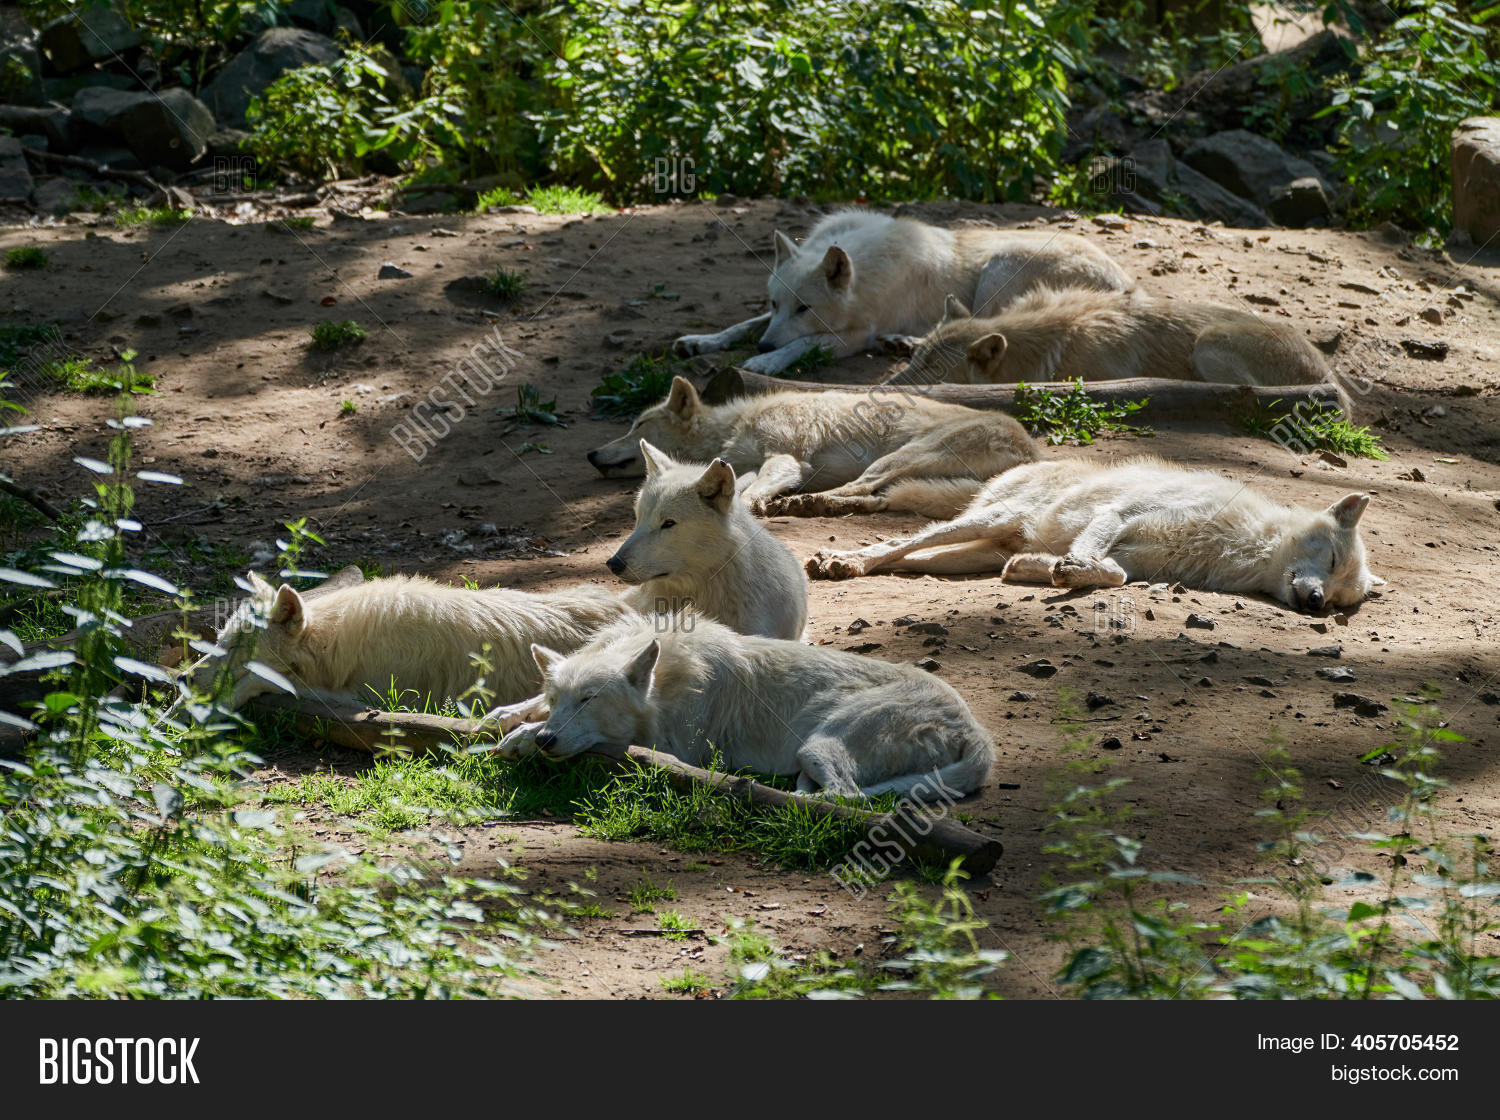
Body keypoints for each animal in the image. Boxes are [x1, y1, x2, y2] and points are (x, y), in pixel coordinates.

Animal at [484, 616, 996, 799]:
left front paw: (523, 739)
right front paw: (508, 720)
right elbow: (522, 708)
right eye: (559, 700)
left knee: (843, 796)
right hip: (811, 754)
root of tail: (976, 730)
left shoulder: (671, 747)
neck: (669, 678)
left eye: (589, 701)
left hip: (817, 744)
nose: (548, 739)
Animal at [587, 375, 1038, 519]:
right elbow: (743, 486)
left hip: (905, 455)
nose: (590, 454)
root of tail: (1031, 454)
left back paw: (805, 504)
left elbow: (750, 496)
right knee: (878, 497)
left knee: (859, 488)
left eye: (638, 425)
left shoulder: (785, 460)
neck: (731, 426)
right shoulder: (749, 464)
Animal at [673, 210, 1131, 375]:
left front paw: (766, 361)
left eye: (806, 308)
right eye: (776, 302)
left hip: (1000, 265)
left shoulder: (853, 337)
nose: (766, 346)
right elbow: (745, 324)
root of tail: (1126, 282)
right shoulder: (771, 318)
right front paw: (701, 341)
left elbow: (801, 344)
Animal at [805, 457, 1381, 612]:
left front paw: (1046, 570)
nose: (1315, 604)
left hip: (971, 553)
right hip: (986, 519)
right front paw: (1070, 571)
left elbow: (1116, 574)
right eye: (1332, 562)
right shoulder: (1117, 515)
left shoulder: (1136, 556)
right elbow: (1105, 565)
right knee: (899, 543)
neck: (1238, 546)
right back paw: (843, 562)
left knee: (907, 559)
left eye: (1338, 601)